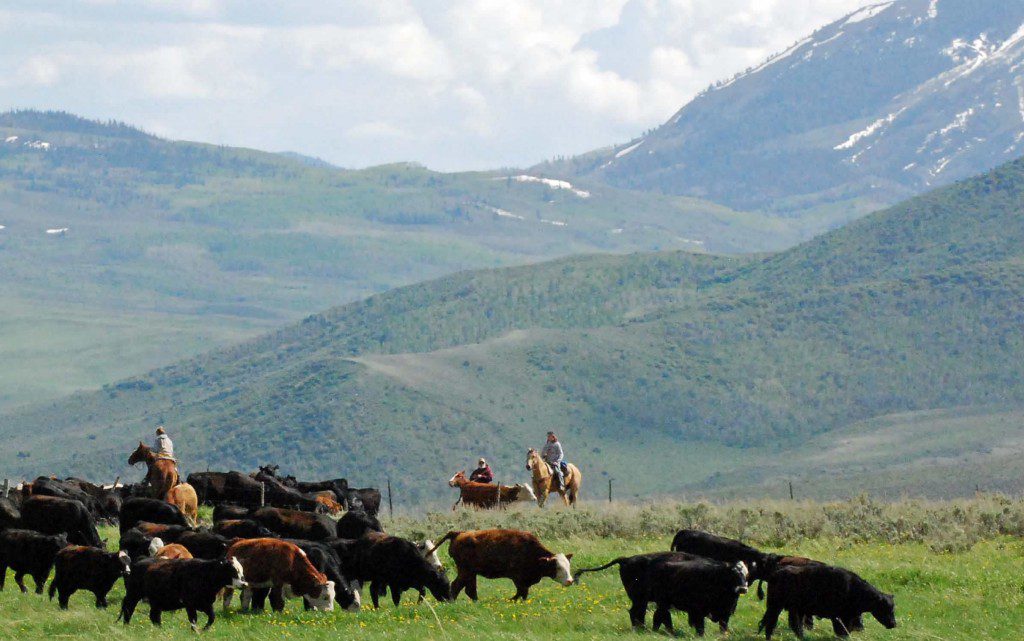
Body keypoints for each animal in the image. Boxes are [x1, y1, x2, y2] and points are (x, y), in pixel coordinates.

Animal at [428, 529, 572, 601]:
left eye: (568, 566)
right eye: (557, 567)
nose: (570, 580)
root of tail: (458, 533)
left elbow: (523, 593)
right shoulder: (518, 578)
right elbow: (522, 592)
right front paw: (511, 600)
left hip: (470, 573)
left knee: (469, 589)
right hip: (466, 571)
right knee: (457, 586)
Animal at [759, 564, 896, 639]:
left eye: (893, 608)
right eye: (886, 608)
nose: (894, 624)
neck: (854, 588)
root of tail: (776, 573)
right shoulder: (840, 617)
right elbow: (843, 630)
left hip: (793, 609)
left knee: (794, 625)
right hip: (775, 606)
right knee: (770, 624)